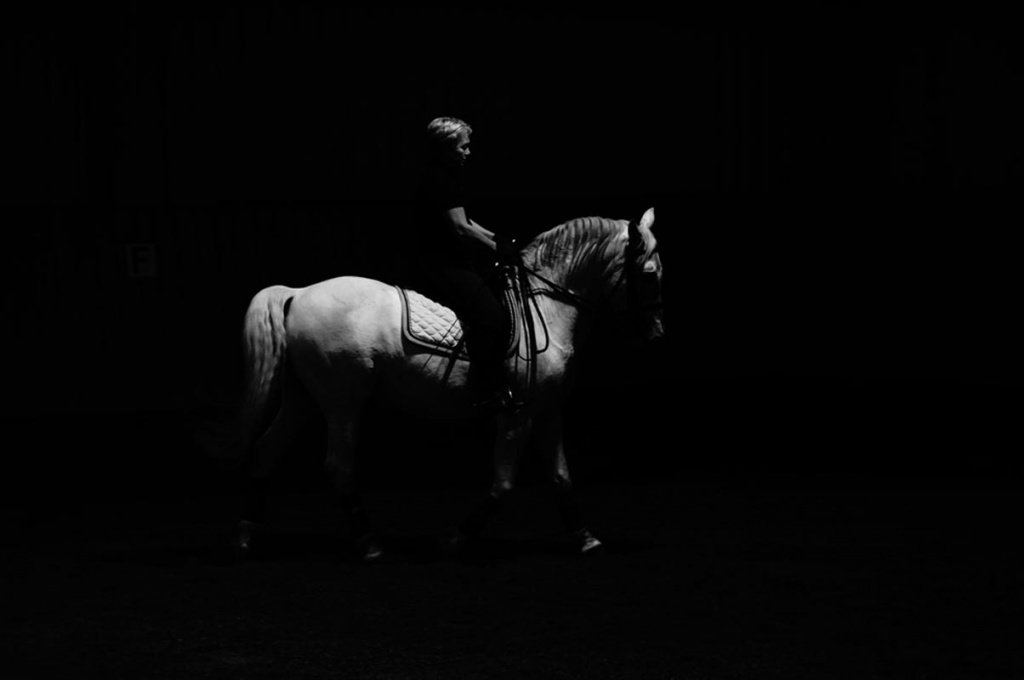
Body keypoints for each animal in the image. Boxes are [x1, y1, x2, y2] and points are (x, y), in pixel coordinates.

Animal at [231, 207, 664, 561]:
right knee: (337, 465)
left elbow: (561, 475)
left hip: (303, 398)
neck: (546, 307)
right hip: (343, 402)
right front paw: (455, 538)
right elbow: (503, 482)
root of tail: (300, 293)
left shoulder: (549, 409)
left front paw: (587, 537)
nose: (658, 334)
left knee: (267, 450)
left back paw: (247, 535)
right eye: (648, 275)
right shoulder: (517, 414)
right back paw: (369, 544)